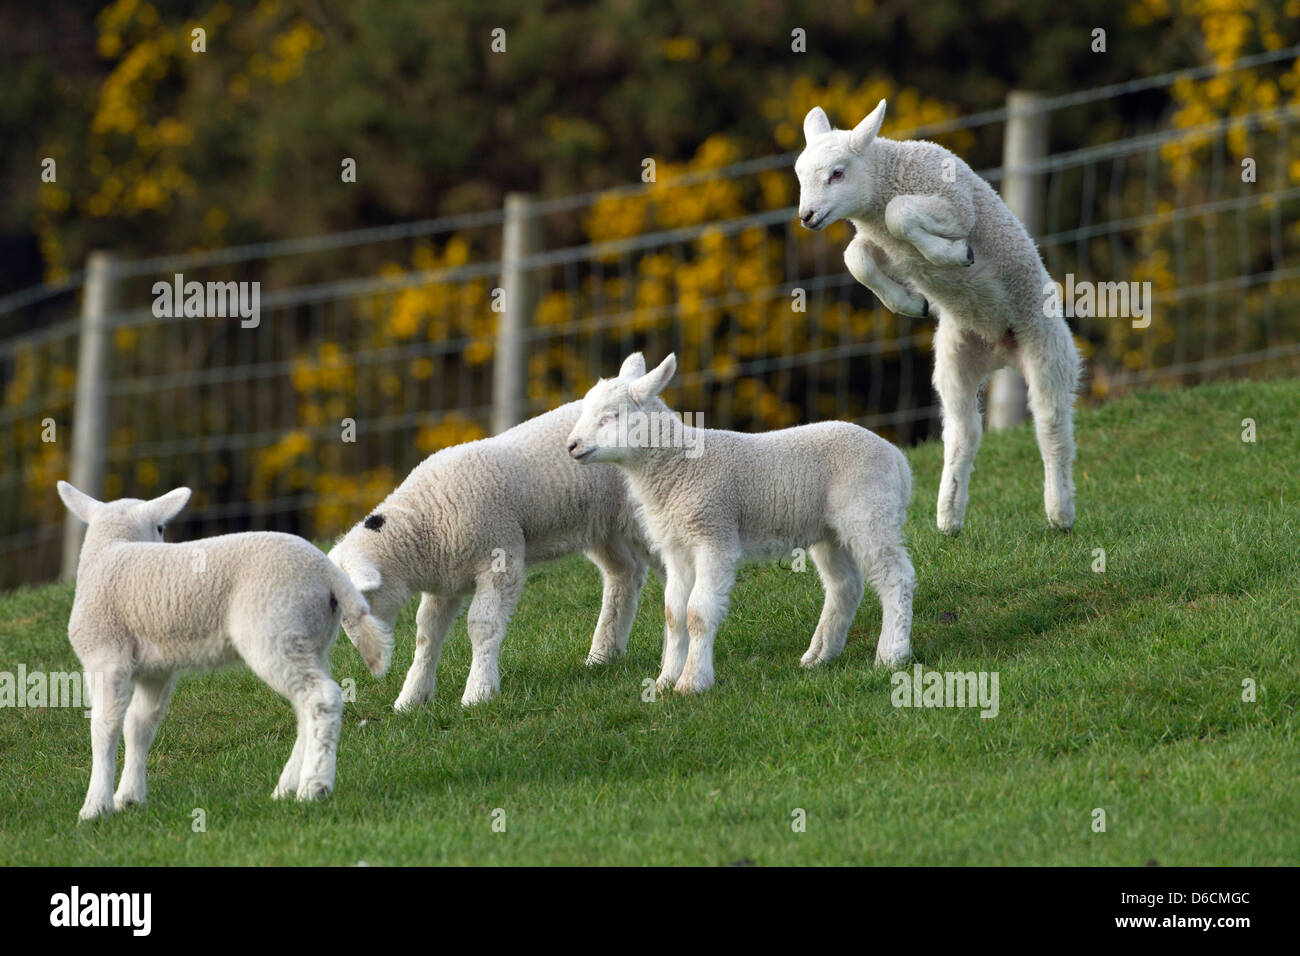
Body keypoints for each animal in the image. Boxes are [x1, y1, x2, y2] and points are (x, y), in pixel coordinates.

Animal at [56, 480, 390, 820]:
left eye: (161, 527)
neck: (110, 550)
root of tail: (328, 571)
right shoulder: (157, 671)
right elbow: (139, 726)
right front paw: (129, 797)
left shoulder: (105, 655)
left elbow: (105, 727)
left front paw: (95, 806)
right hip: (310, 639)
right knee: (306, 708)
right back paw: (287, 787)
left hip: (275, 630)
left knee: (322, 697)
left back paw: (314, 787)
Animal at [328, 401, 654, 711]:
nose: (370, 663)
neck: (425, 518)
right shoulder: (445, 582)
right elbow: (427, 634)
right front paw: (411, 698)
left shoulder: (500, 559)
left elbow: (482, 626)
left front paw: (478, 692)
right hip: (603, 525)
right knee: (625, 574)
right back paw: (603, 655)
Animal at [565, 352, 915, 694]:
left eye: (611, 416)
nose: (571, 446)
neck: (677, 468)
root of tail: (898, 459)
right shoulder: (677, 549)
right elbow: (674, 615)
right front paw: (665, 681)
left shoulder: (713, 535)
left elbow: (697, 613)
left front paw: (692, 682)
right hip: (830, 531)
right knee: (845, 586)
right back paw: (820, 656)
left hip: (869, 511)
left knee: (896, 576)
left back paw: (892, 654)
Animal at [794, 98, 1082, 535]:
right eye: (799, 175)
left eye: (837, 173)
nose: (807, 216)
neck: (887, 184)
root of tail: (1001, 349)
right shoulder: (886, 247)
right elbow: (855, 258)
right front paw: (911, 303)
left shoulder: (955, 206)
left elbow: (899, 214)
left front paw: (956, 254)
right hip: (955, 357)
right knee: (964, 431)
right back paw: (949, 515)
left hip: (1046, 341)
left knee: (1051, 422)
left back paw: (1060, 510)